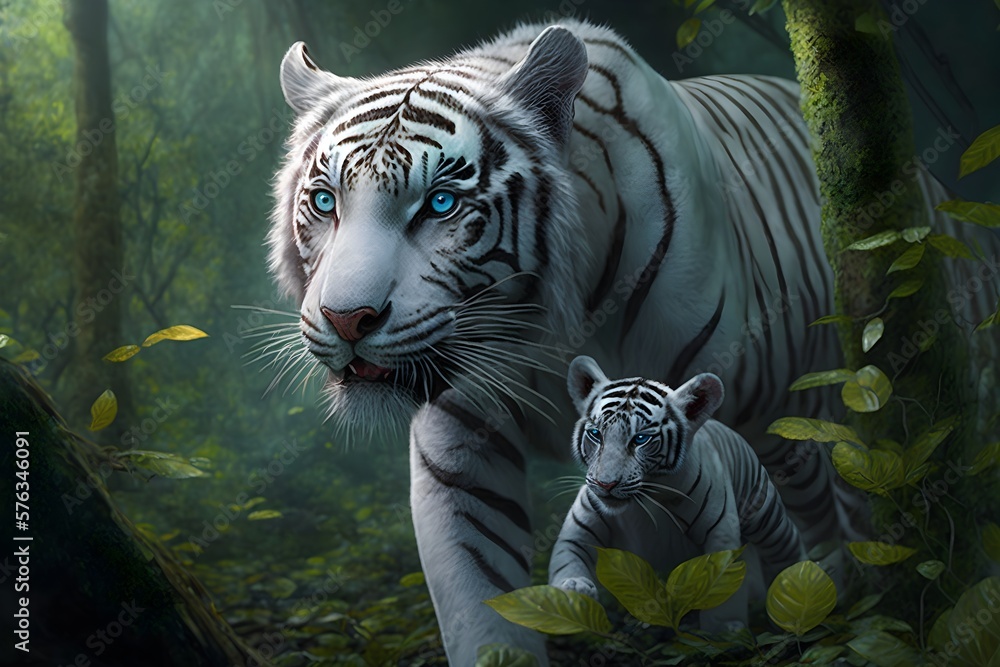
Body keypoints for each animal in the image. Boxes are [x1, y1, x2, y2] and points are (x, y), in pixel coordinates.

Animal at [549, 356, 806, 632]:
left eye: (640, 439)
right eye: (596, 434)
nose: (605, 484)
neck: (644, 501)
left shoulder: (720, 534)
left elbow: (720, 586)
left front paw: (724, 630)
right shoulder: (578, 530)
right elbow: (567, 557)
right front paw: (572, 591)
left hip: (766, 517)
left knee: (789, 545)